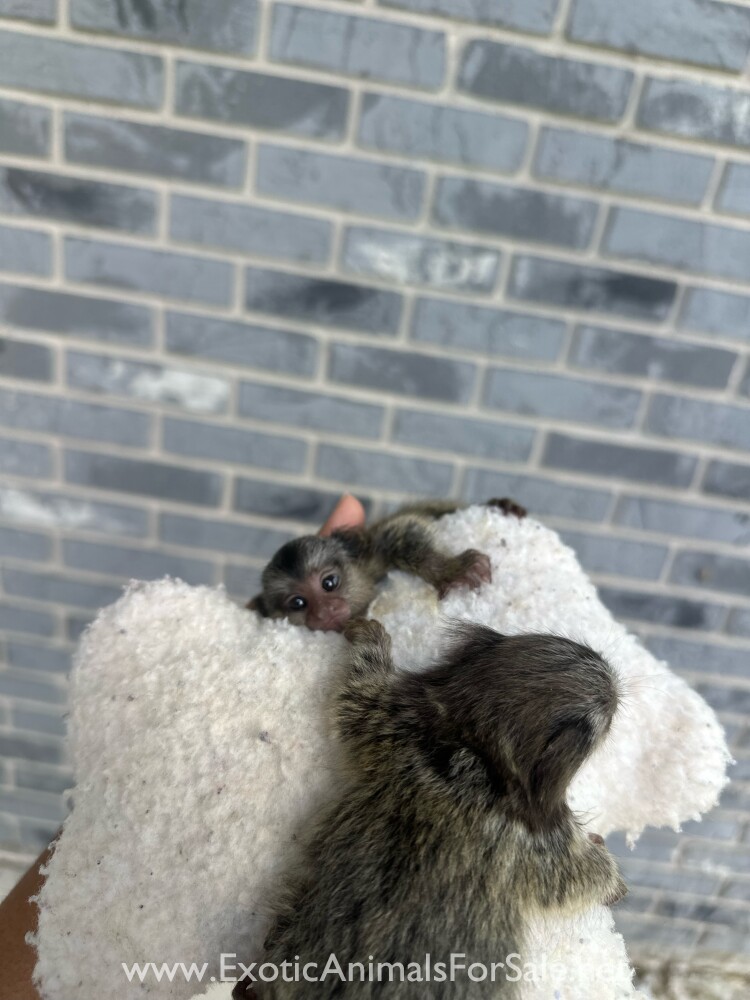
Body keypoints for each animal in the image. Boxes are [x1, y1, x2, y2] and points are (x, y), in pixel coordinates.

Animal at [232, 619, 626, 999]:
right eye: (600, 720)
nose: (614, 684)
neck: (477, 750)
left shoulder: (393, 725)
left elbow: (356, 698)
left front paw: (369, 635)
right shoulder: (531, 838)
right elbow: (572, 881)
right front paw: (611, 881)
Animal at [248, 497, 527, 632]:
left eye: (329, 583)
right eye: (298, 603)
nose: (325, 611)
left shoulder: (375, 549)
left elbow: (404, 530)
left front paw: (449, 570)